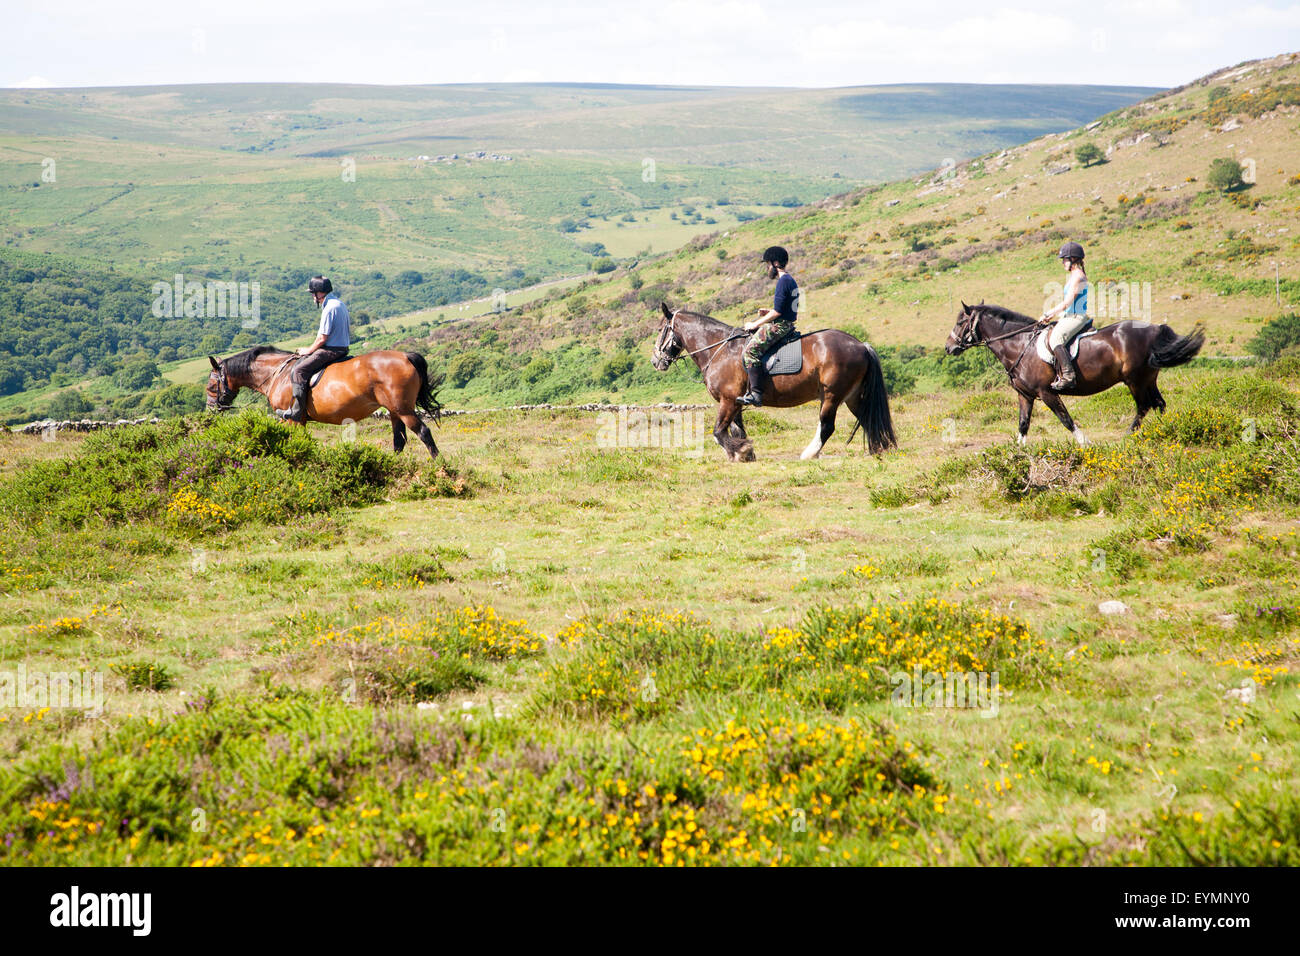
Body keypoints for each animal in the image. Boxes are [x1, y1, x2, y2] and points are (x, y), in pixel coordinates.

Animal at [205, 346, 444, 457]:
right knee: (399, 440)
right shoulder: (300, 421)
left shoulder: (291, 418)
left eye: (211, 386)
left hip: (403, 409)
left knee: (424, 432)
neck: (276, 374)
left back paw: (439, 465)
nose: (211, 410)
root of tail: (405, 356)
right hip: (394, 411)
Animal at [651, 302, 896, 461]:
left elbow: (718, 432)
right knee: (867, 418)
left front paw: (739, 452)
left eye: (661, 330)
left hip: (831, 395)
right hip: (852, 396)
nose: (656, 361)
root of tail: (860, 344)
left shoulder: (728, 400)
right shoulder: (736, 402)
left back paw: (809, 454)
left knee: (827, 426)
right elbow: (737, 430)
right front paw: (746, 453)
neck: (720, 350)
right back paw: (879, 449)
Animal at [944, 302, 1205, 446]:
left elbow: (1066, 420)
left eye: (960, 322)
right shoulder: (1025, 395)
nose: (948, 347)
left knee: (1143, 407)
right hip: (1149, 379)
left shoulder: (1046, 393)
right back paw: (1163, 431)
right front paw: (1016, 455)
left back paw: (1128, 436)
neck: (1021, 345)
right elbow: (1023, 424)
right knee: (1159, 404)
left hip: (1135, 380)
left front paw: (1085, 443)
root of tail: (1154, 329)